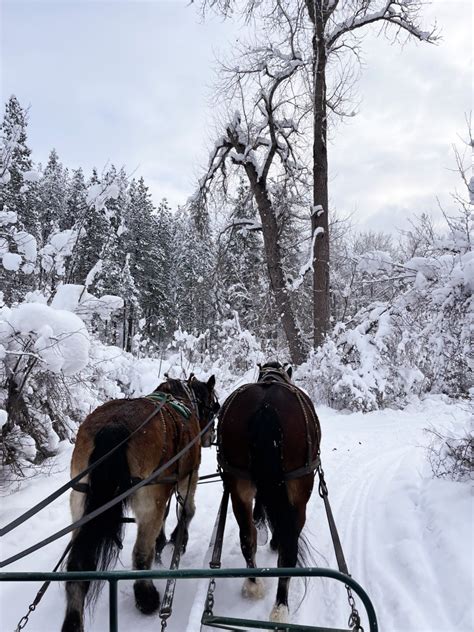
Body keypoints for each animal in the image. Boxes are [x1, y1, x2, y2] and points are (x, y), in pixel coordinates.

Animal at [60, 376, 219, 632]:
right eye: (213, 405)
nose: (210, 438)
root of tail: (114, 427)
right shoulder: (187, 476)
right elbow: (186, 511)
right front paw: (177, 540)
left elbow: (165, 517)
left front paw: (162, 541)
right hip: (148, 499)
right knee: (141, 553)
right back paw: (147, 596)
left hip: (80, 502)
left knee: (78, 564)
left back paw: (73, 622)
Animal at [217, 360, 320, 624]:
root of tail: (266, 407)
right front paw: (271, 539)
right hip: (300, 489)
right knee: (289, 546)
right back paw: (280, 605)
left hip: (238, 482)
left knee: (247, 537)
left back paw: (253, 584)